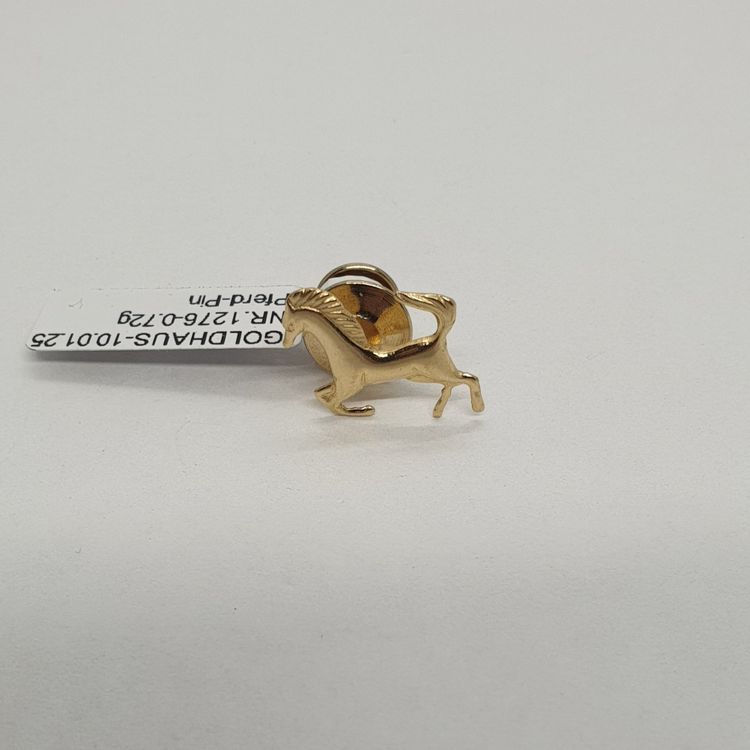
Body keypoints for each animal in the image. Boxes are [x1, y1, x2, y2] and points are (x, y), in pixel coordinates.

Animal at [282, 287, 485, 418]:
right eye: (284, 324)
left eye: (290, 325)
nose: (285, 343)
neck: (345, 351)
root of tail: (438, 338)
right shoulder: (339, 383)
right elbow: (320, 394)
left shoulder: (350, 386)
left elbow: (332, 403)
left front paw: (365, 410)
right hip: (422, 376)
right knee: (451, 385)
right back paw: (438, 410)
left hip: (437, 370)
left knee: (470, 379)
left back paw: (477, 407)